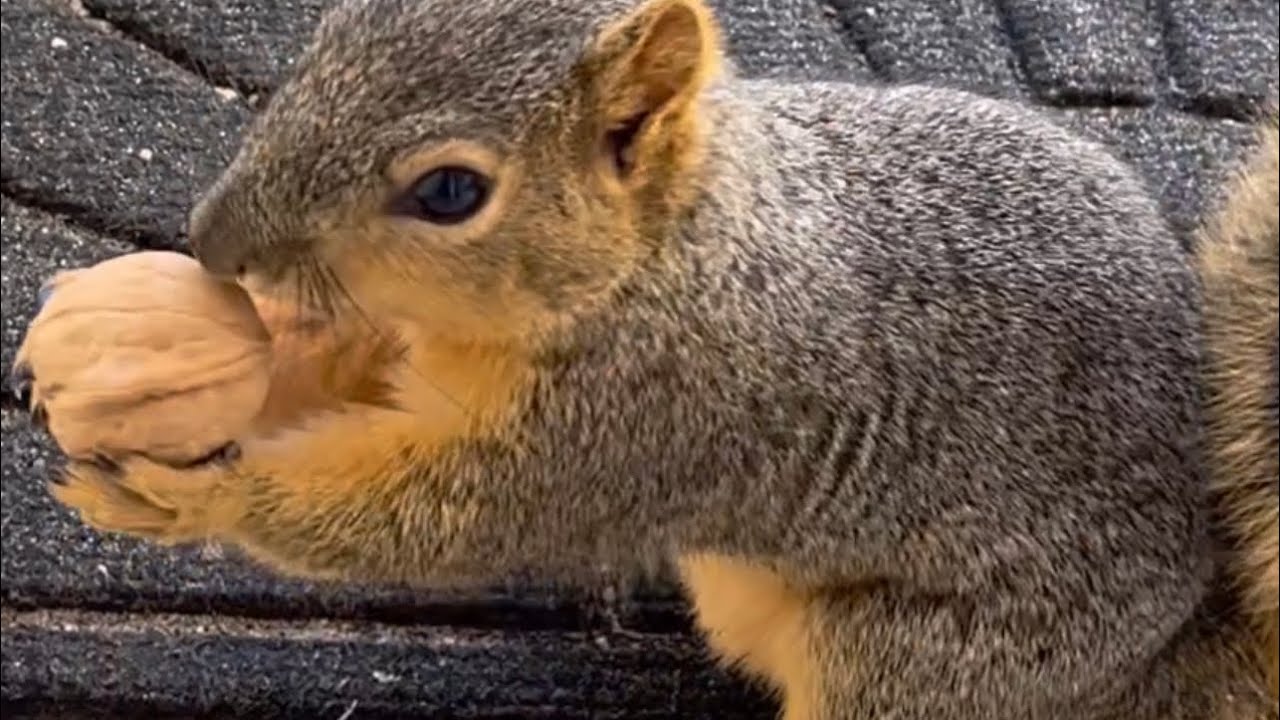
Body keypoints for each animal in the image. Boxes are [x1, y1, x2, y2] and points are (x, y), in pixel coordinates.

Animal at [31, 0, 1277, 718]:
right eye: (323, 44)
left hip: (916, 659)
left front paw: (194, 497)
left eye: (449, 192)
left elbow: (438, 521)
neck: (670, 246)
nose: (212, 241)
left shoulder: (639, 423)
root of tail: (1161, 652)